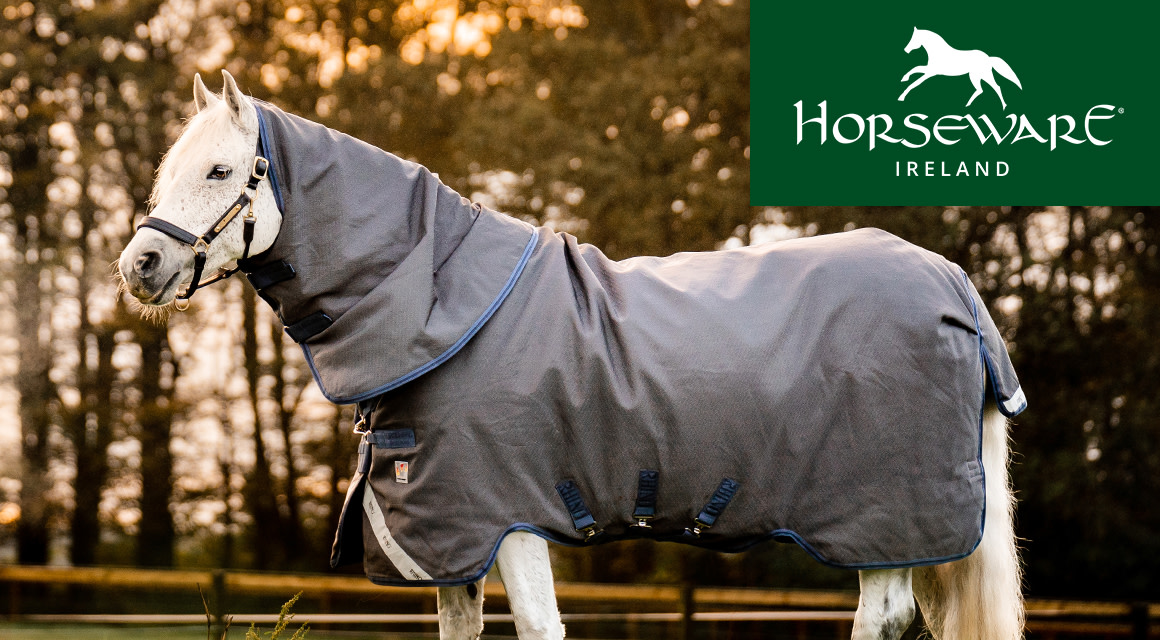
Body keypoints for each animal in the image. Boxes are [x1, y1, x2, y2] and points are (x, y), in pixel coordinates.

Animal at [118, 70, 1025, 640]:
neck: (445, 306)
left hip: (882, 527)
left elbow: (540, 624)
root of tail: (955, 287)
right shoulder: (455, 534)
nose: (140, 265)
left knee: (882, 617)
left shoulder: (513, 515)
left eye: (222, 170)